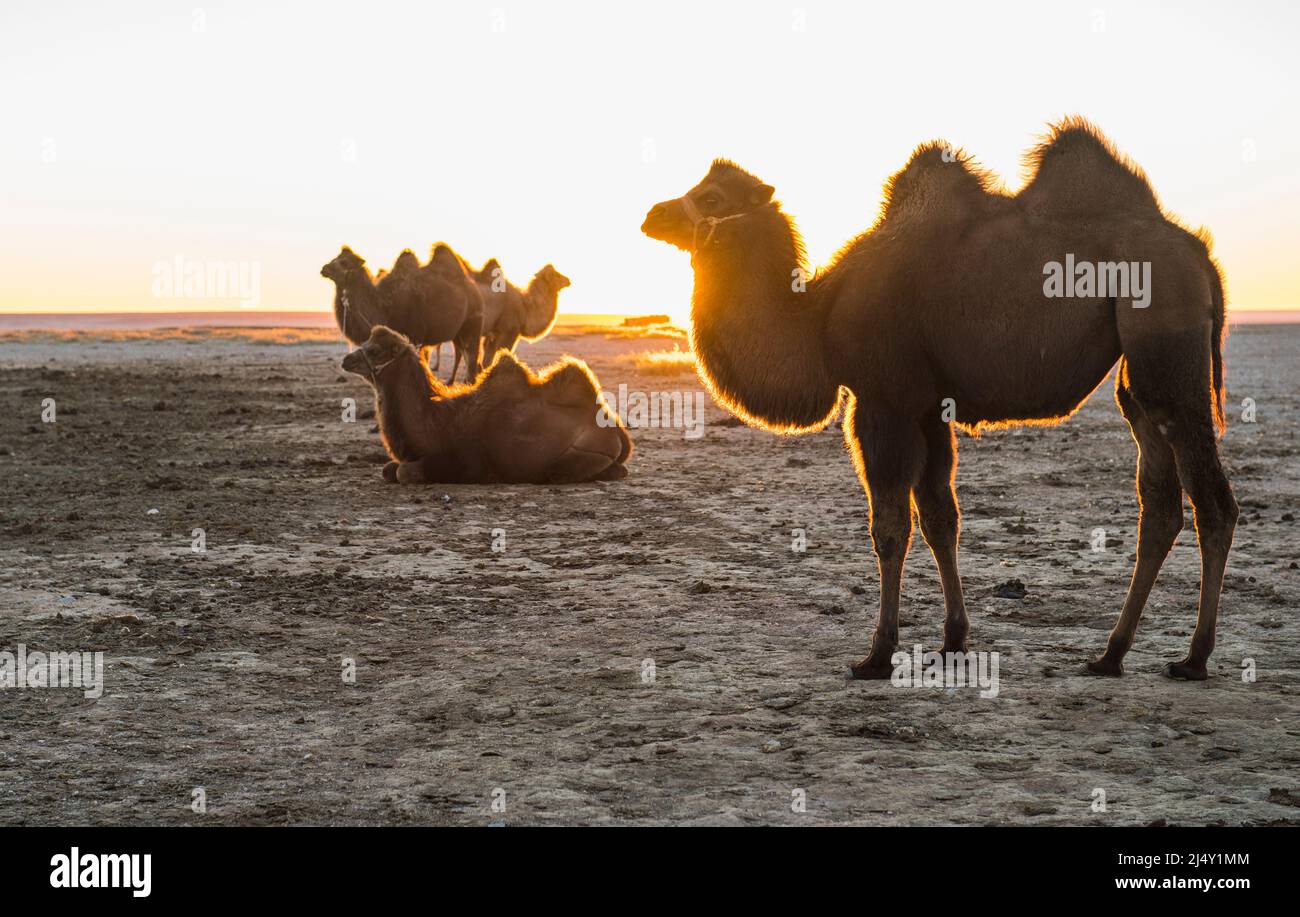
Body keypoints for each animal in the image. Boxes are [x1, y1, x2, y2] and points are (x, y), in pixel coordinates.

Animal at [321, 246, 481, 383]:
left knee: (471, 353)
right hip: (457, 332)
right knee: (461, 352)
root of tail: (472, 286)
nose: (325, 268)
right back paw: (452, 382)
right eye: (335, 257)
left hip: (472, 323)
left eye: (345, 262)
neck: (384, 307)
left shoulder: (415, 337)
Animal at [340, 324, 632, 485]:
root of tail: (616, 430)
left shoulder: (466, 463)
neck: (436, 424)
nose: (346, 359)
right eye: (366, 342)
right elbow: (388, 469)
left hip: (580, 456)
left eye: (375, 350)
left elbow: (404, 472)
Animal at [641, 118, 1236, 682]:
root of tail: (1200, 255)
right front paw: (953, 640)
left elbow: (890, 528)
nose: (653, 213)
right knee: (1159, 502)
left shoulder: (884, 401)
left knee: (1213, 501)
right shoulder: (928, 408)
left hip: (1165, 336)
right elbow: (939, 519)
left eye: (712, 197)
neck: (819, 317)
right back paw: (1111, 655)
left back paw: (1195, 658)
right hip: (1138, 374)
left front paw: (877, 655)